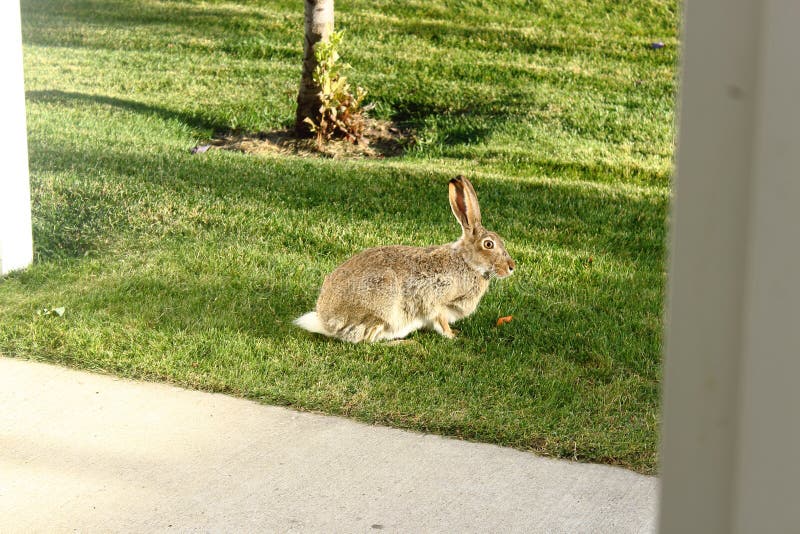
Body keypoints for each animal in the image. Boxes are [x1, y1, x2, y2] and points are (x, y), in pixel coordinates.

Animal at [294, 175, 515, 343]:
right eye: (489, 244)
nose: (511, 267)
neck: (467, 263)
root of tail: (326, 321)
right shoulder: (437, 298)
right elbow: (440, 318)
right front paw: (452, 335)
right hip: (383, 305)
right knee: (367, 339)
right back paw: (403, 343)